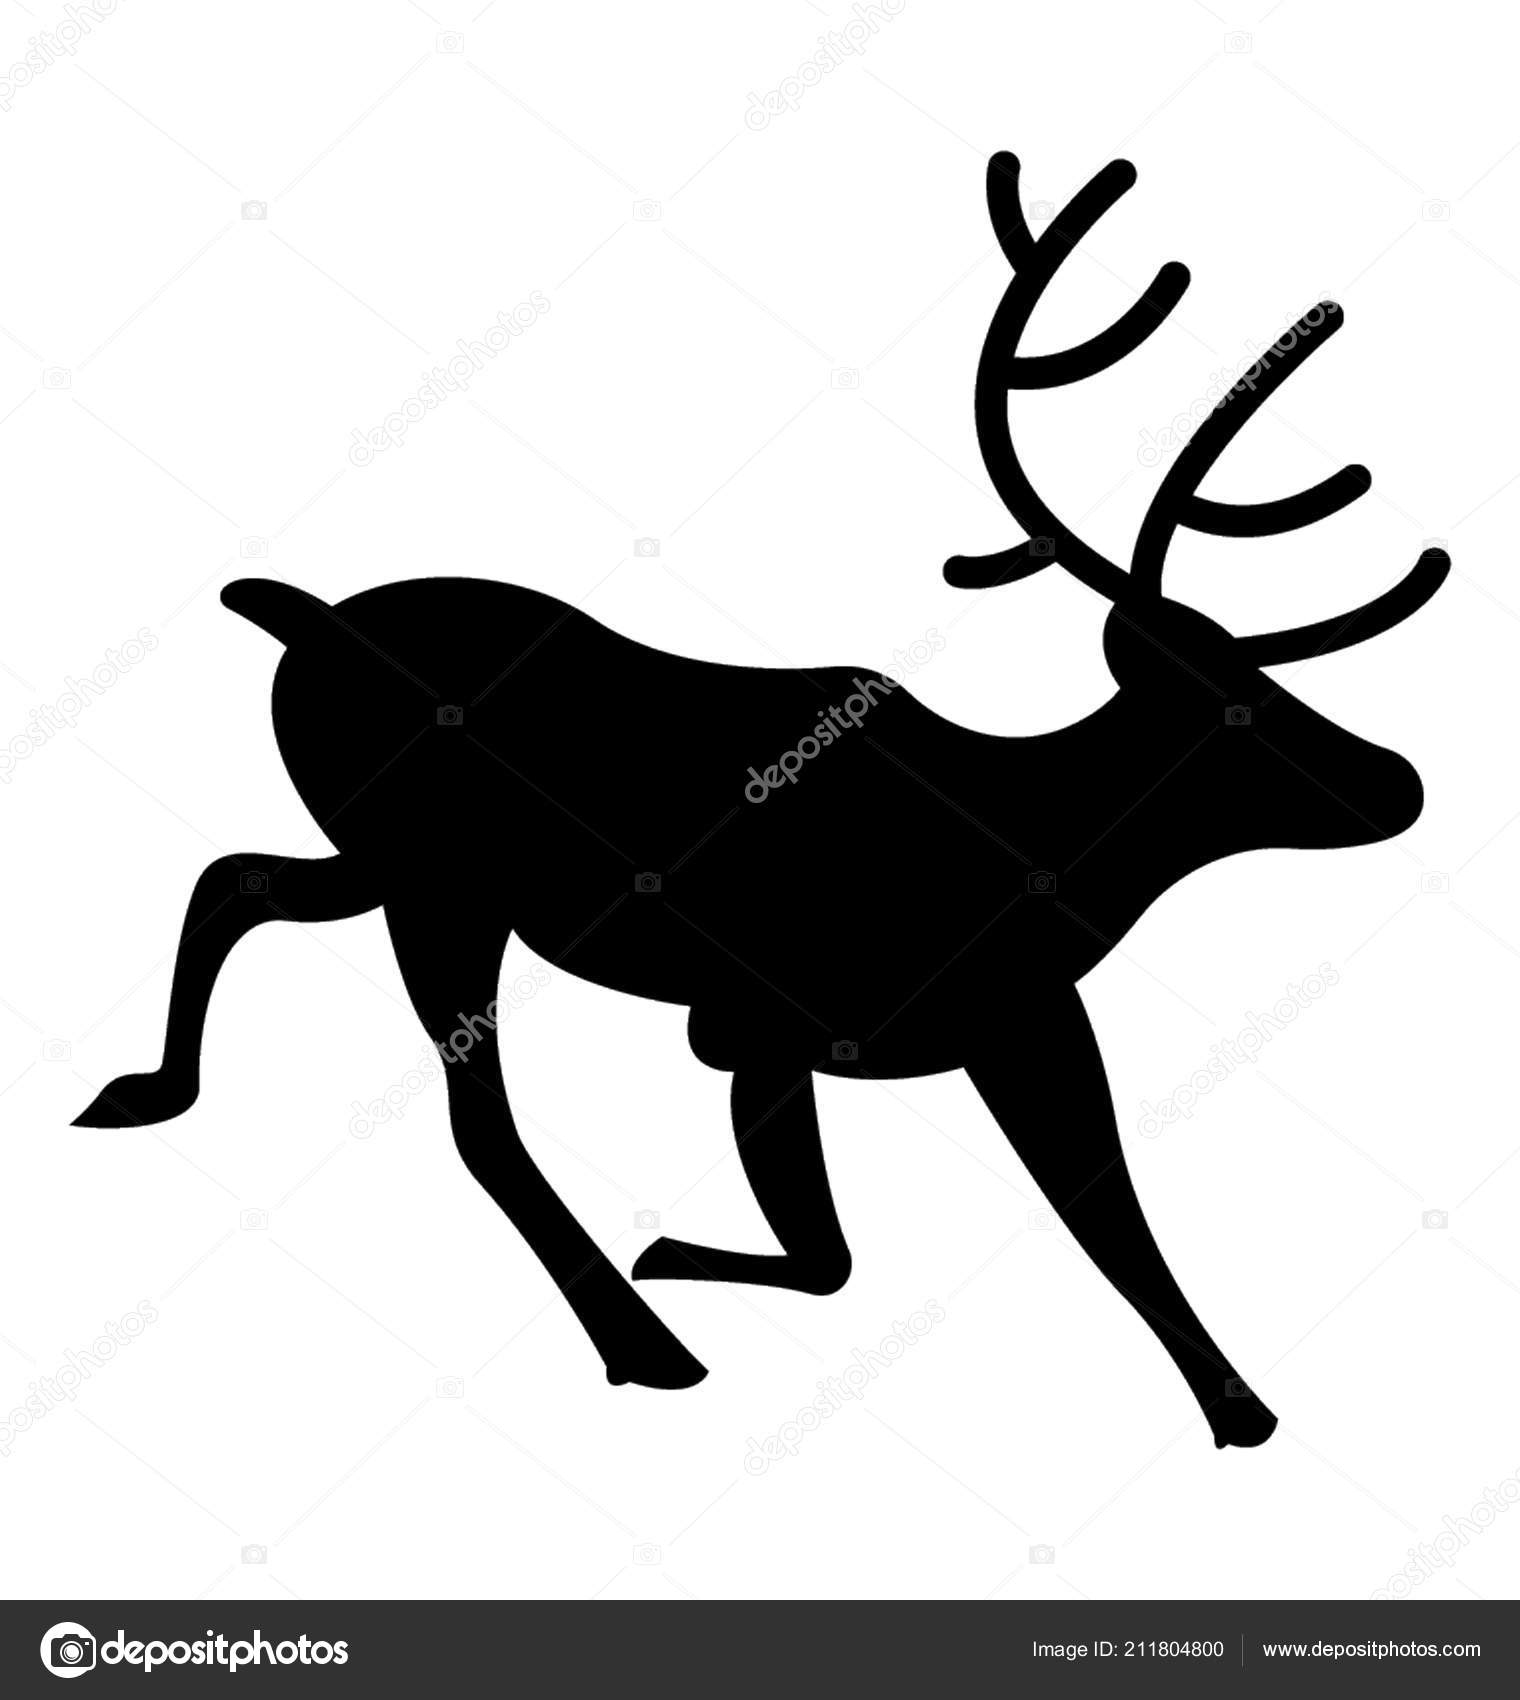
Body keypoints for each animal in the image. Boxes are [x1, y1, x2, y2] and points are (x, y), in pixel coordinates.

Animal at [75, 152, 1446, 1447]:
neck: (1041, 847)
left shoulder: (1010, 1018)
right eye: (1242, 709)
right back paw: (643, 1342)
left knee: (236, 876)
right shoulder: (767, 1023)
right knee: (471, 1118)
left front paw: (1241, 1411)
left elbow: (1098, 1212)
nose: (1398, 780)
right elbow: (840, 1253)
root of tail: (295, 619)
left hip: (381, 859)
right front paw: (674, 1252)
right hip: (441, 882)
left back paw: (145, 1086)